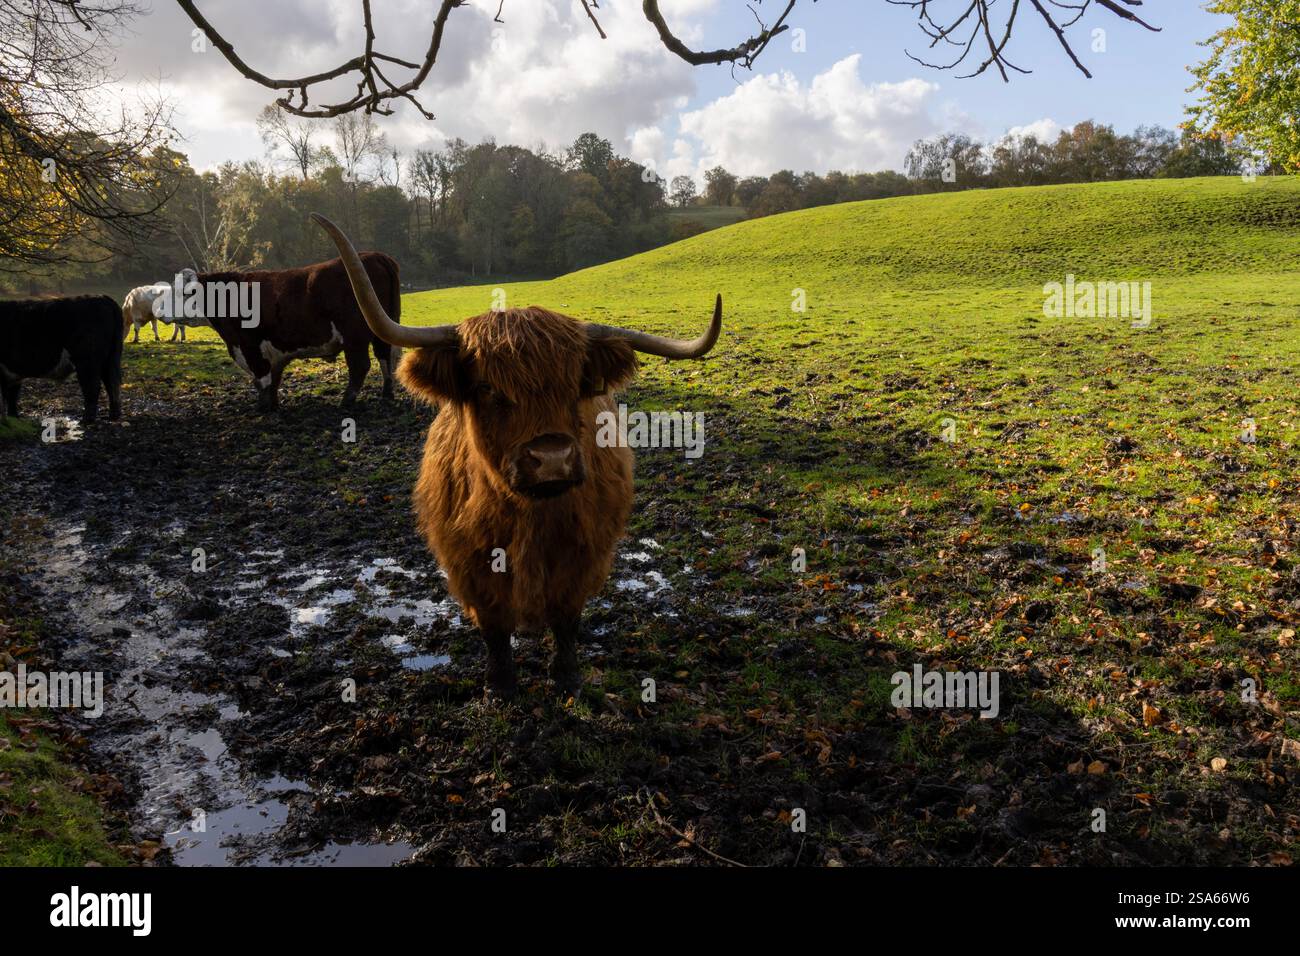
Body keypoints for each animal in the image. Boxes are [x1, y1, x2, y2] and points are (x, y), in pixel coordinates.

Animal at [192, 255, 402, 411]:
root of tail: (373, 255)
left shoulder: (249, 347)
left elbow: (262, 380)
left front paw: (263, 408)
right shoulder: (273, 352)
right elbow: (273, 380)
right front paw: (272, 405)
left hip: (354, 337)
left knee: (360, 366)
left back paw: (347, 400)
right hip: (381, 327)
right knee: (384, 357)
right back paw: (386, 394)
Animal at [313, 213, 722, 699]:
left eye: (576, 387)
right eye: (488, 388)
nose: (552, 458)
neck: (529, 518)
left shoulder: (583, 557)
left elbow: (566, 619)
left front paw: (566, 677)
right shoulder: (470, 564)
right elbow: (493, 626)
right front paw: (500, 686)